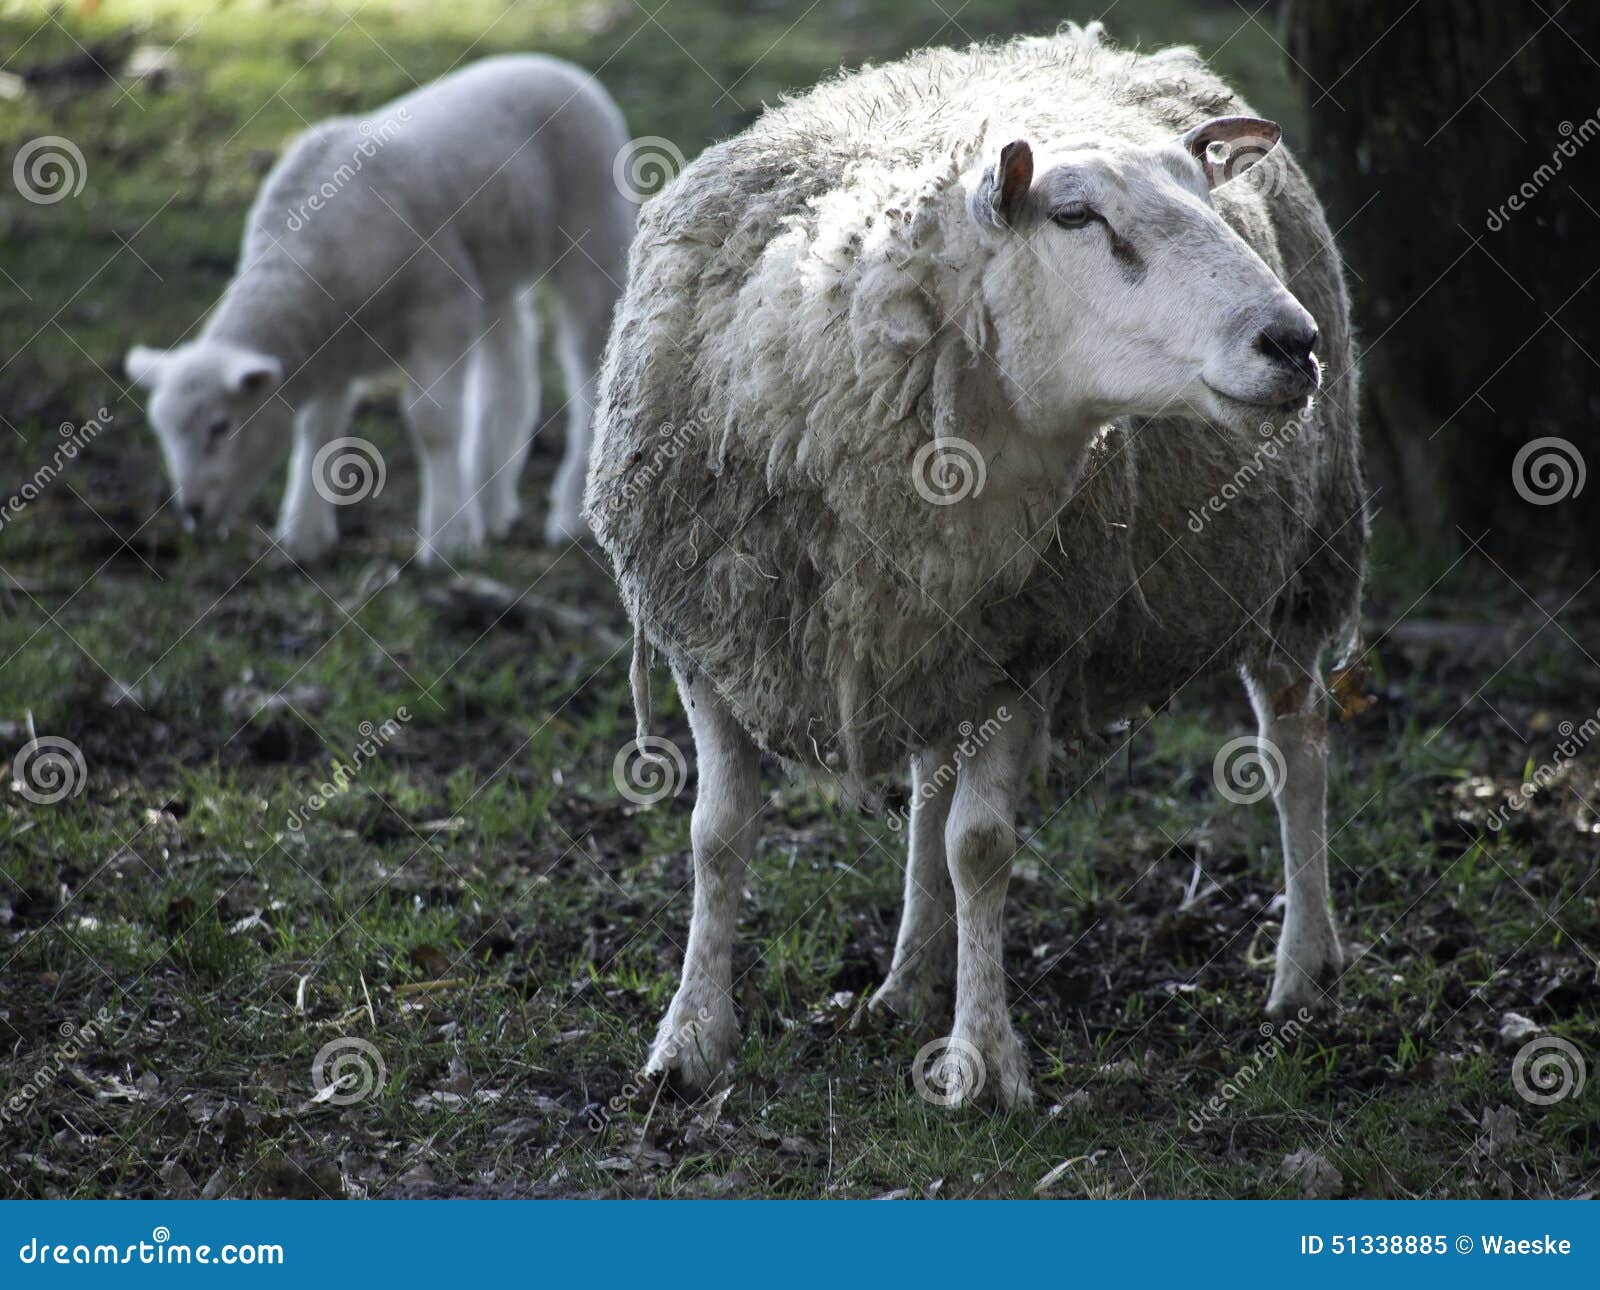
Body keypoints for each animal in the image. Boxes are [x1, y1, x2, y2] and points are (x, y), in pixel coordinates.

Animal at [126, 54, 635, 564]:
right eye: (162, 431)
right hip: (493, 272)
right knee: (509, 385)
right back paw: (490, 508)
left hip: (594, 235)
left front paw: (447, 539)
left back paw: (568, 515)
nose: (192, 513)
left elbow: (432, 424)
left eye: (220, 426)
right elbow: (318, 431)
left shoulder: (440, 308)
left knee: (589, 374)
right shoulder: (332, 349)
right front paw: (305, 536)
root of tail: (554, 64)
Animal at [585, 25, 1367, 1109]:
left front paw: (982, 1061)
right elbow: (717, 835)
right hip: (925, 633)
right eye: (1076, 216)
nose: (1292, 343)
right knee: (925, 785)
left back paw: (1303, 970)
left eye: (1211, 205)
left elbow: (982, 848)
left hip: (1302, 560)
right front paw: (691, 1037)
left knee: (1297, 752)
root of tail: (1109, 42)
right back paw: (907, 980)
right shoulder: (709, 637)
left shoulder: (1025, 647)